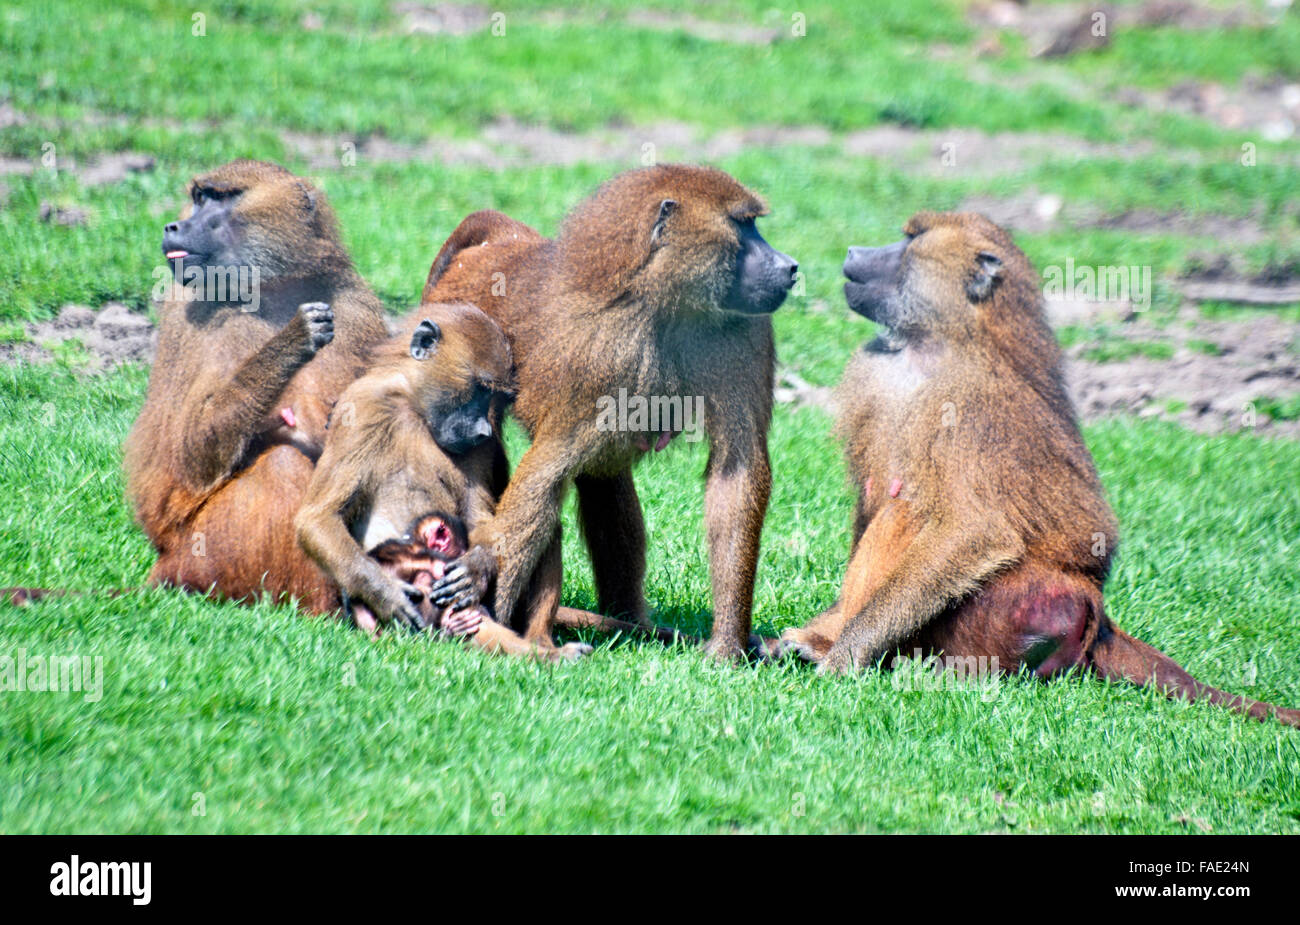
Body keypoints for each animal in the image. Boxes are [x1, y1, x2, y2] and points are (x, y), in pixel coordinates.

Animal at [123, 159, 390, 613]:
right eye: (200, 197)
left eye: (220, 198)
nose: (173, 226)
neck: (270, 289)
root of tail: (162, 565)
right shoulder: (198, 314)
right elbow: (192, 453)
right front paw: (293, 340)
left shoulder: (355, 305)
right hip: (204, 552)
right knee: (281, 464)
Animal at [295, 303, 592, 662]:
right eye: (481, 388)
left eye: (495, 395)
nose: (484, 430)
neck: (415, 409)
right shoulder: (362, 407)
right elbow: (318, 517)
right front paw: (387, 594)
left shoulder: (480, 449)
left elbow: (479, 519)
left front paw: (476, 567)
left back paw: (543, 646)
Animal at [409, 165, 798, 660]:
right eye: (743, 225)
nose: (790, 267)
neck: (663, 302)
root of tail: (485, 253)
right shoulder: (599, 359)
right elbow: (545, 474)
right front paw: (485, 591)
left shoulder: (745, 331)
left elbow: (738, 467)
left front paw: (726, 649)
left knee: (603, 478)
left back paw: (632, 625)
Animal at [778, 210, 1300, 727]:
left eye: (911, 240)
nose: (854, 252)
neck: (939, 344)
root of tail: (1099, 618)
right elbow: (870, 501)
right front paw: (825, 635)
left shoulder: (969, 407)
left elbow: (972, 529)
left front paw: (845, 654)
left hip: (1027, 604)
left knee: (911, 512)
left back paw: (949, 670)